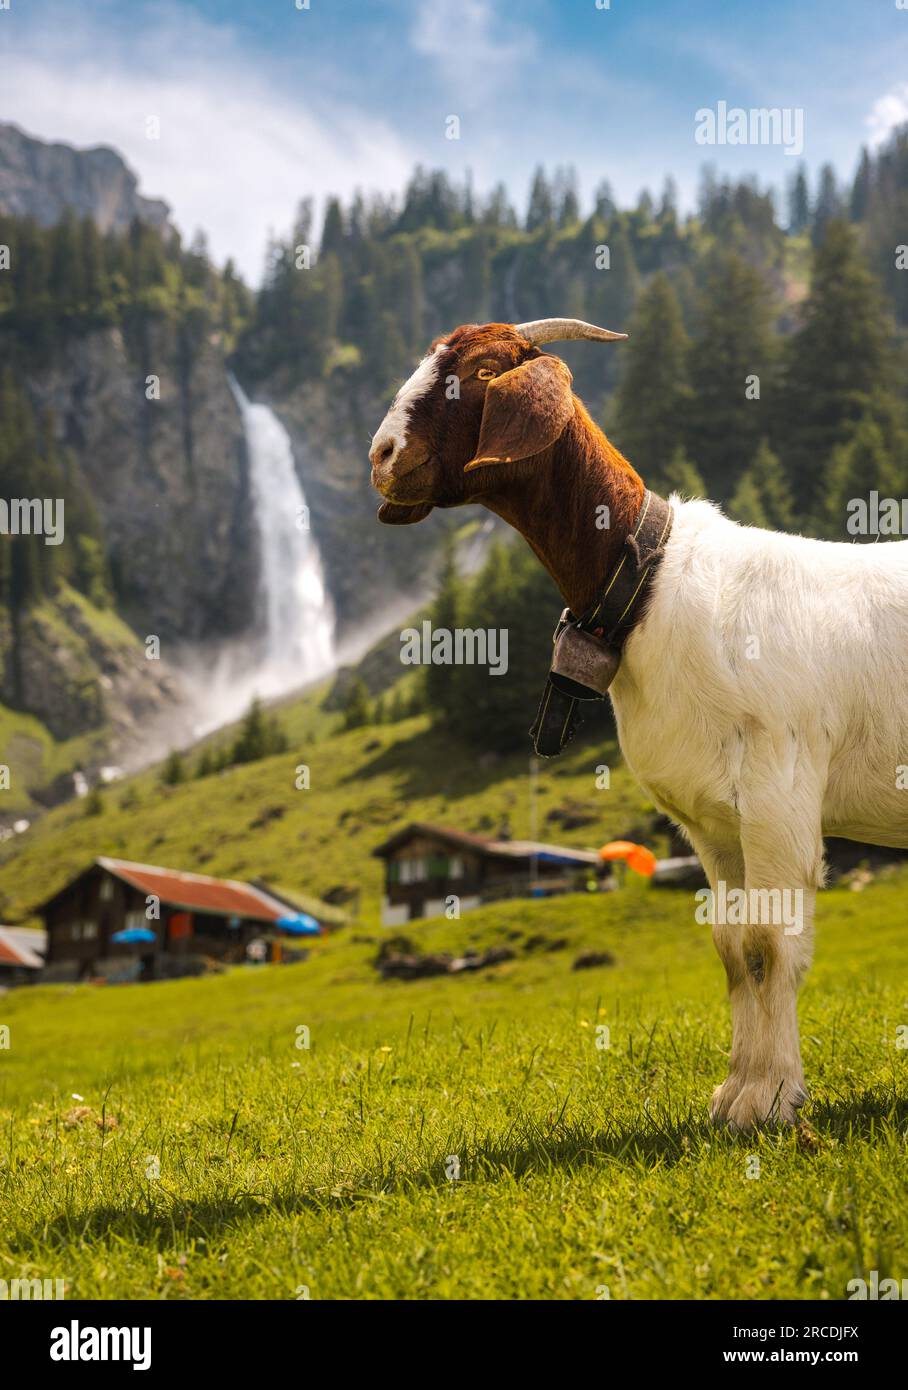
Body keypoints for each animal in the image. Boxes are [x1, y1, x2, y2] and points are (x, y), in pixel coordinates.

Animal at [369, 318, 908, 1130]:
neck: (649, 579)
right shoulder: (714, 822)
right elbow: (733, 947)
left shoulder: (779, 792)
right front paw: (734, 1094)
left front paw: (773, 1098)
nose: (382, 457)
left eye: (484, 371)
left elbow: (773, 944)